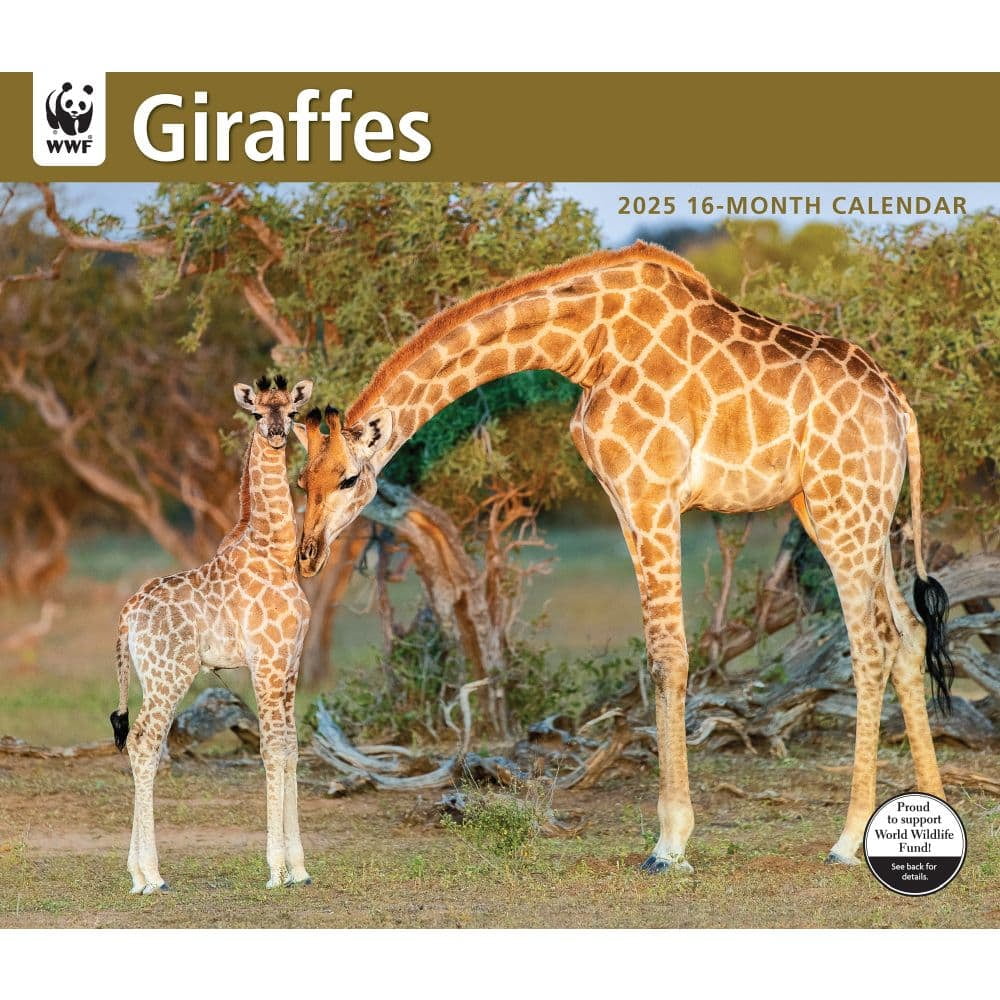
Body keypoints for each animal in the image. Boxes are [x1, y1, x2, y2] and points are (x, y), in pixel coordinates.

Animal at [110, 374, 314, 893]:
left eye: (293, 413)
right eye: (258, 413)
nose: (277, 433)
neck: (275, 552)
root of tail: (127, 614)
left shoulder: (290, 664)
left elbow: (291, 747)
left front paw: (300, 869)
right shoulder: (266, 661)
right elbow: (270, 748)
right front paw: (276, 871)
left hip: (154, 676)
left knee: (142, 740)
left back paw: (138, 873)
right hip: (169, 674)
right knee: (144, 741)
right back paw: (150, 876)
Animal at [295, 242, 954, 873]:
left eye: (350, 478)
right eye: (303, 480)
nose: (307, 557)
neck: (587, 343)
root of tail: (900, 406)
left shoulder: (652, 491)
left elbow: (669, 657)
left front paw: (670, 844)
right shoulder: (624, 498)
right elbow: (657, 651)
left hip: (843, 503)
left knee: (871, 641)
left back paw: (847, 840)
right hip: (843, 508)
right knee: (908, 630)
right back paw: (929, 809)